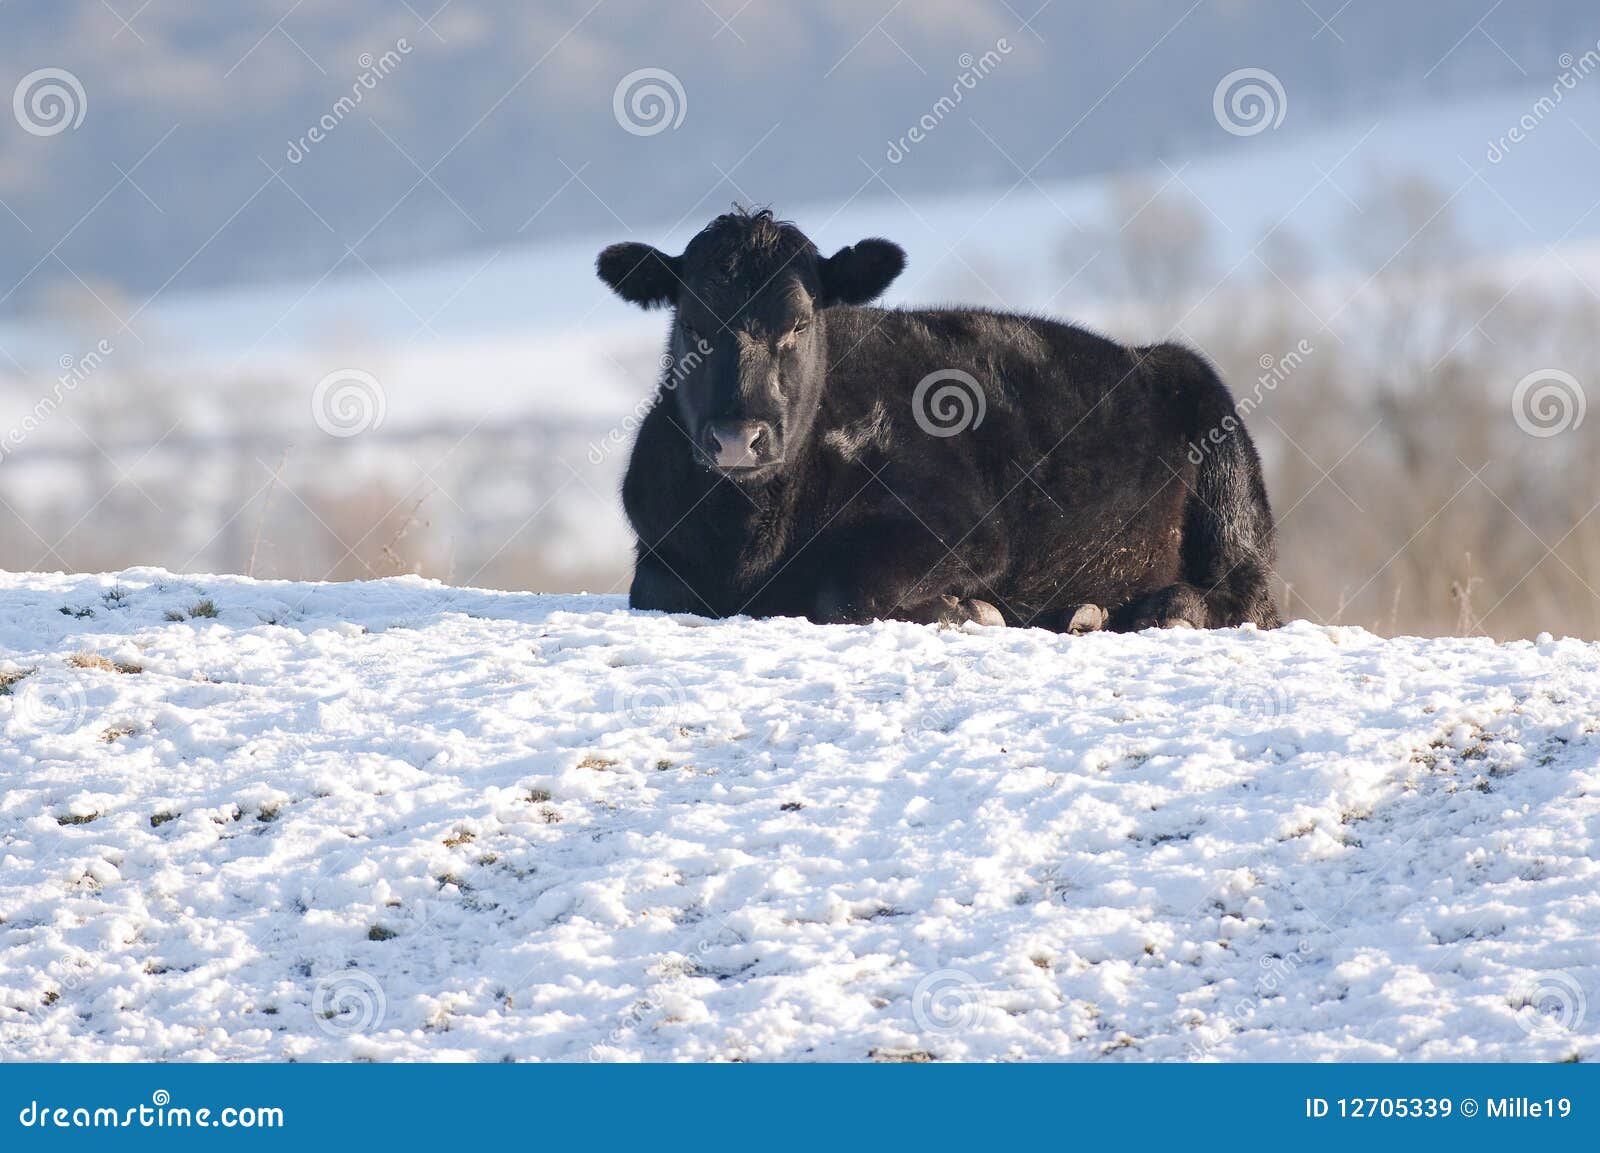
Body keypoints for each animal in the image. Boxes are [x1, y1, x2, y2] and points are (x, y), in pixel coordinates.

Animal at [596, 207, 1281, 633]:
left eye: (799, 324)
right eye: (692, 325)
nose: (738, 439)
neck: (751, 538)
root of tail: (1148, 352)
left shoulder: (964, 529)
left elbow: (850, 589)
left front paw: (968, 611)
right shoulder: (659, 548)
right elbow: (654, 591)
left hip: (1228, 487)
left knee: (1244, 594)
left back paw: (1161, 609)